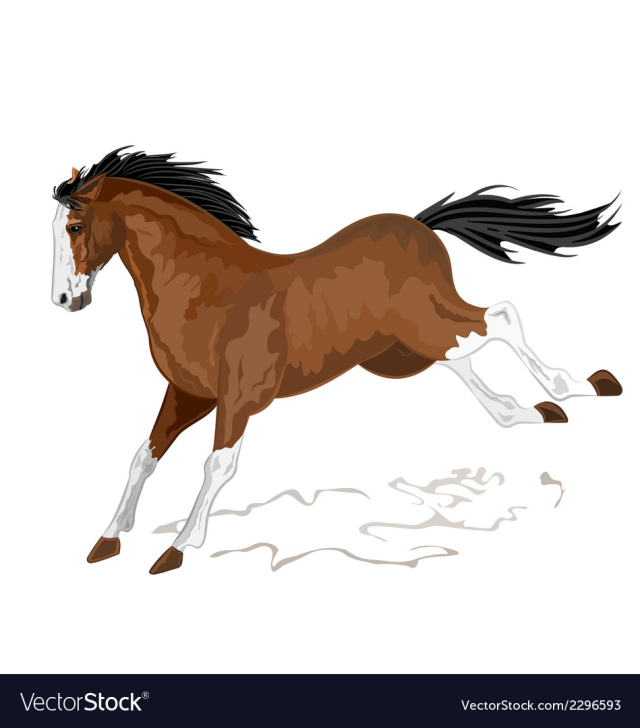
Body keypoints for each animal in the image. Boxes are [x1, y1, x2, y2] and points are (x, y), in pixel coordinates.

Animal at [51, 147, 622, 574]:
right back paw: (531, 410)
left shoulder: (238, 398)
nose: (64, 300)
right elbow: (143, 456)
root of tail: (421, 227)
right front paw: (107, 539)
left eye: (75, 227)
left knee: (500, 317)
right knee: (461, 360)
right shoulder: (190, 393)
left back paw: (582, 387)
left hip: (425, 326)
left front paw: (177, 548)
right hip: (404, 352)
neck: (204, 289)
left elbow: (217, 465)